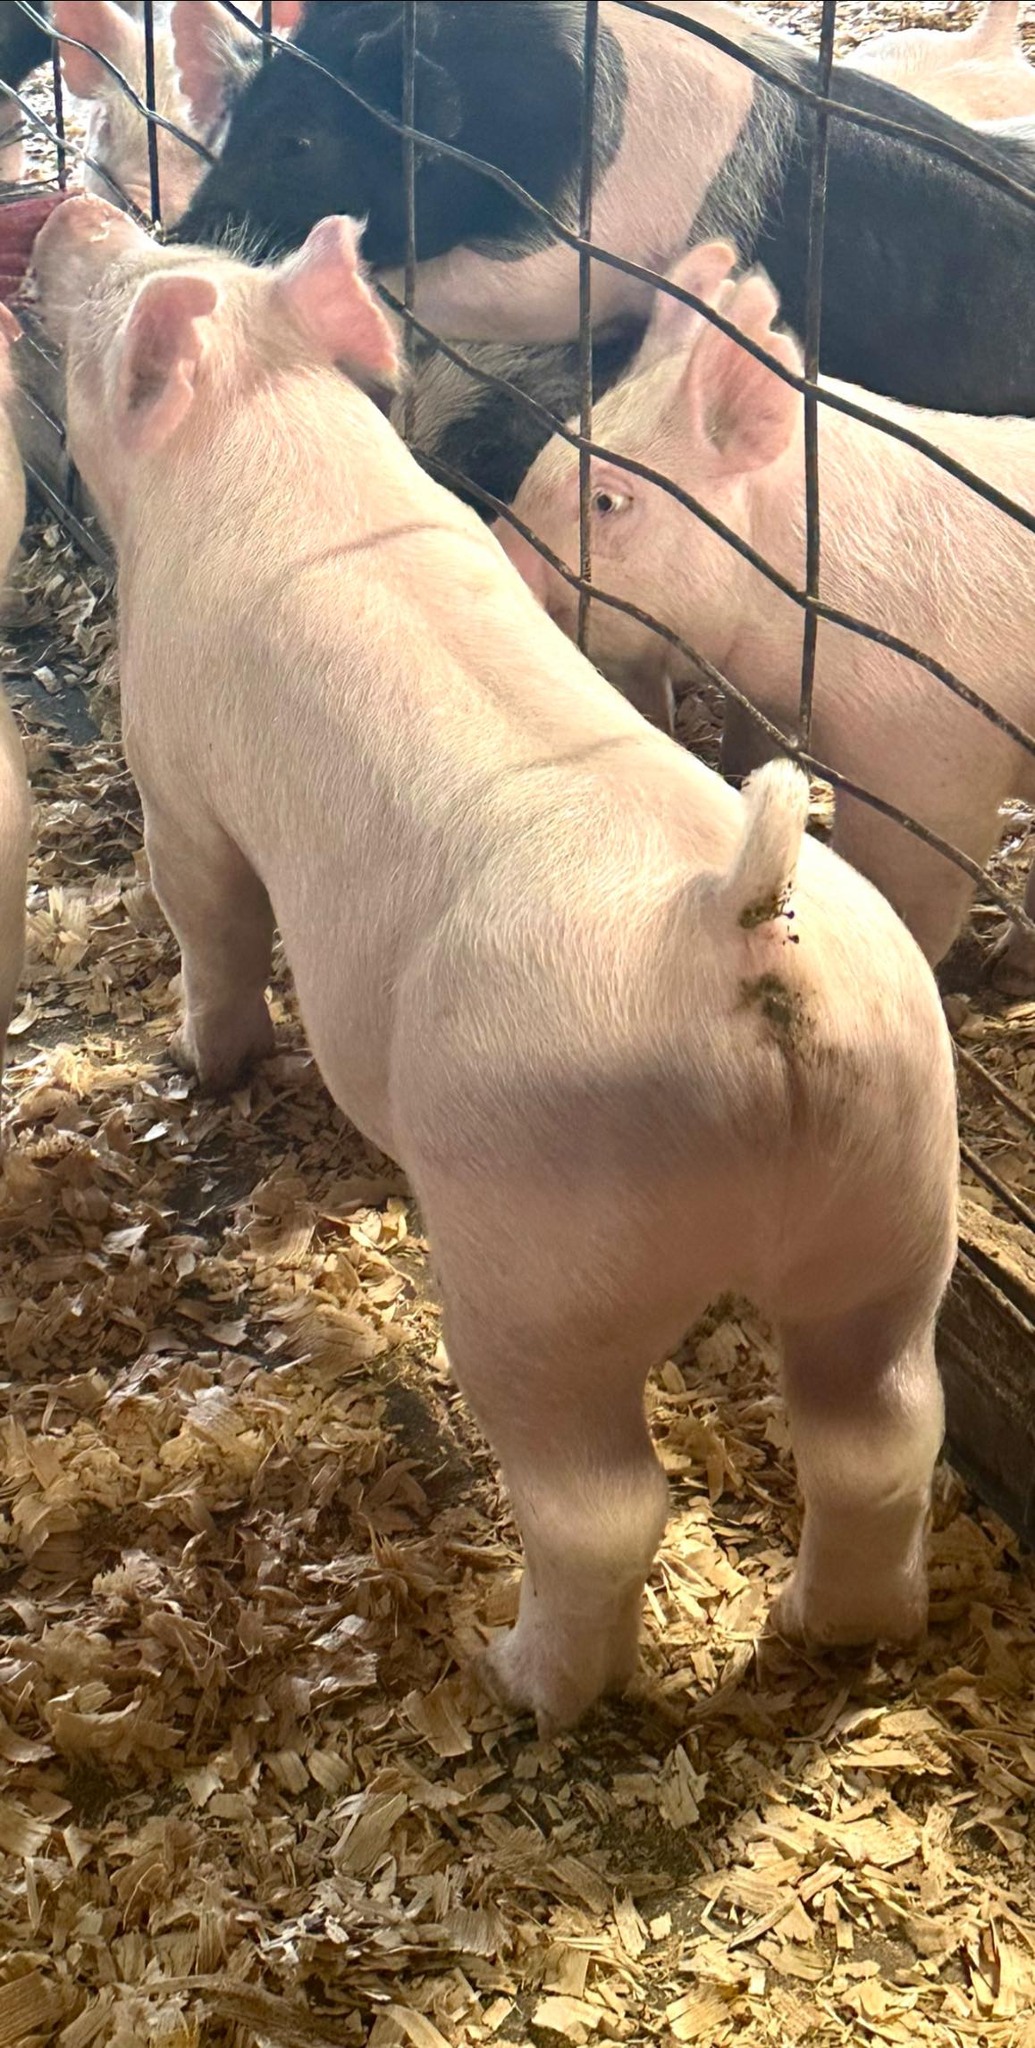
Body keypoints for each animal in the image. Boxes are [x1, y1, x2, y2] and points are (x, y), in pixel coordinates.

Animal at [32, 193, 960, 1734]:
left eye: (116, 309)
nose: (75, 212)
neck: (269, 434)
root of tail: (728, 925)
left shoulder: (172, 763)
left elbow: (210, 921)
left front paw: (198, 1062)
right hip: (892, 1199)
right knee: (881, 1435)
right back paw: (833, 1630)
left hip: (538, 1265)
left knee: (599, 1506)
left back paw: (521, 1678)